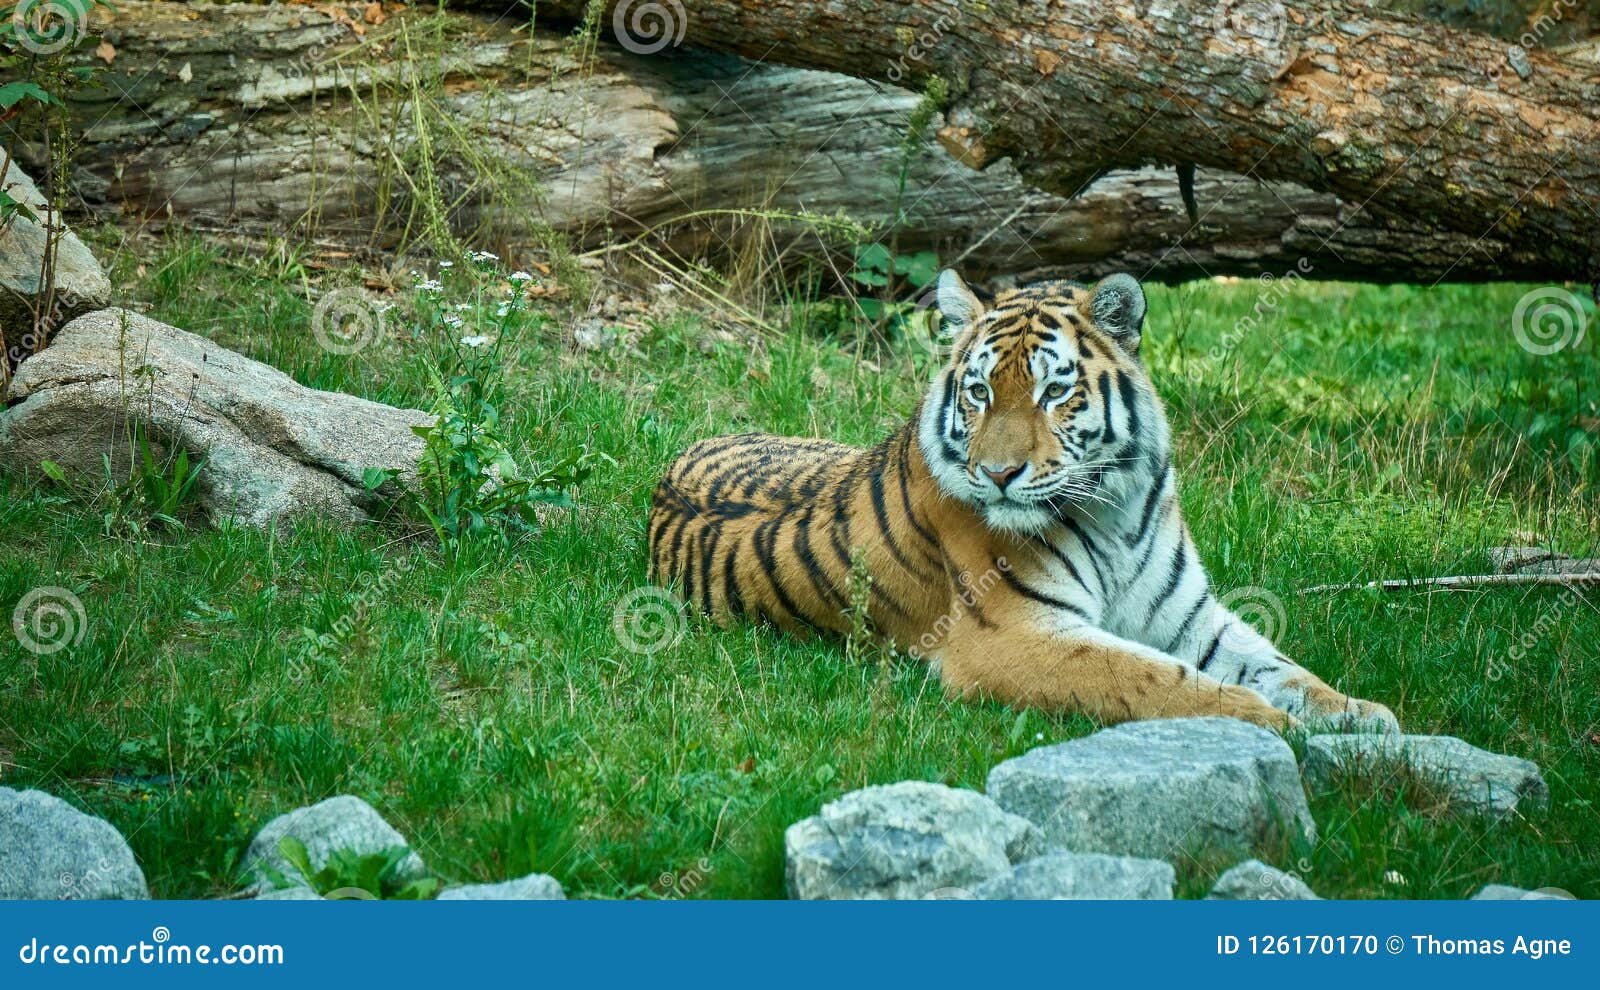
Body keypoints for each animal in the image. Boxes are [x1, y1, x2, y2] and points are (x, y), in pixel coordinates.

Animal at [646, 270, 1398, 732]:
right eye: (979, 392)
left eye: (1053, 391)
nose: (998, 472)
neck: (1117, 511)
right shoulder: (1013, 638)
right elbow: (1155, 680)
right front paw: (1273, 724)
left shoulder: (1190, 617)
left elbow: (1281, 667)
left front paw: (1361, 716)